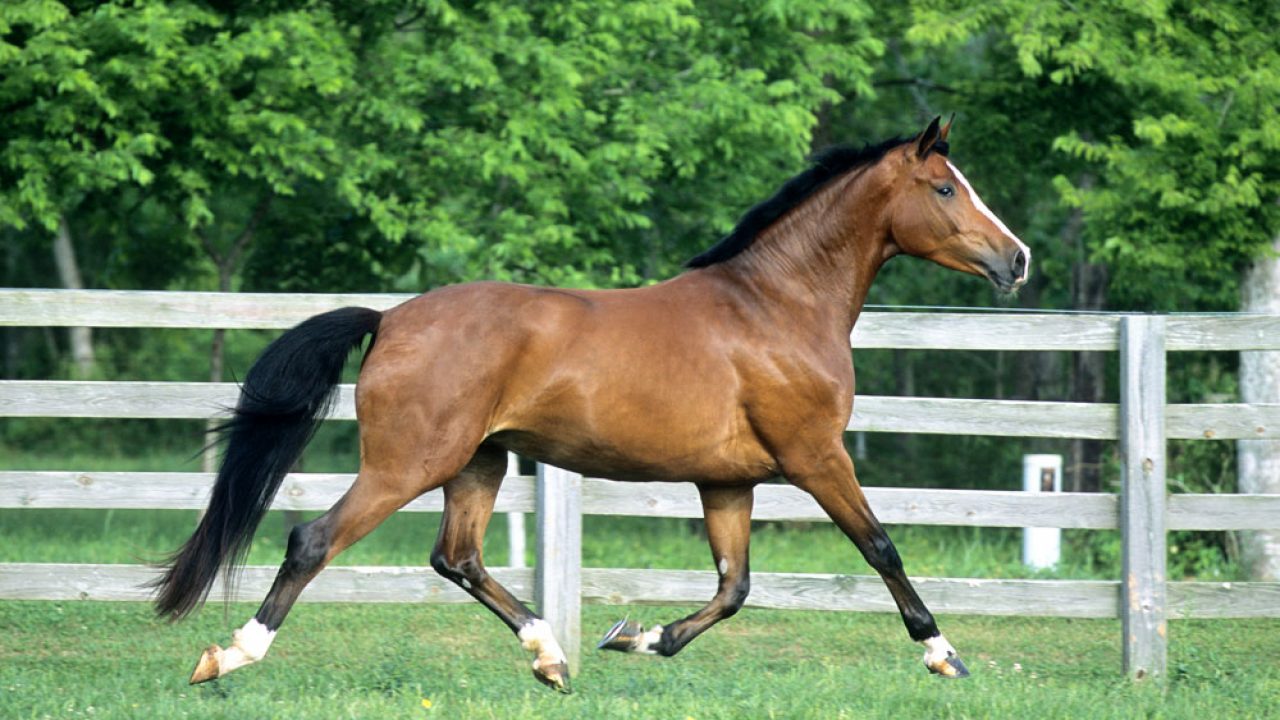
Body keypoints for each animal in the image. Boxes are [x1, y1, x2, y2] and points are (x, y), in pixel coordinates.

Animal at [153, 116, 1030, 693]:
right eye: (945, 188)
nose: (1017, 260)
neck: (774, 307)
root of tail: (392, 318)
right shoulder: (816, 457)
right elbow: (881, 548)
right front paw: (944, 655)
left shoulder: (729, 481)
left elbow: (733, 586)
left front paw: (636, 636)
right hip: (411, 463)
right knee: (314, 540)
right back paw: (227, 656)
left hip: (480, 462)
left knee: (457, 557)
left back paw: (552, 657)